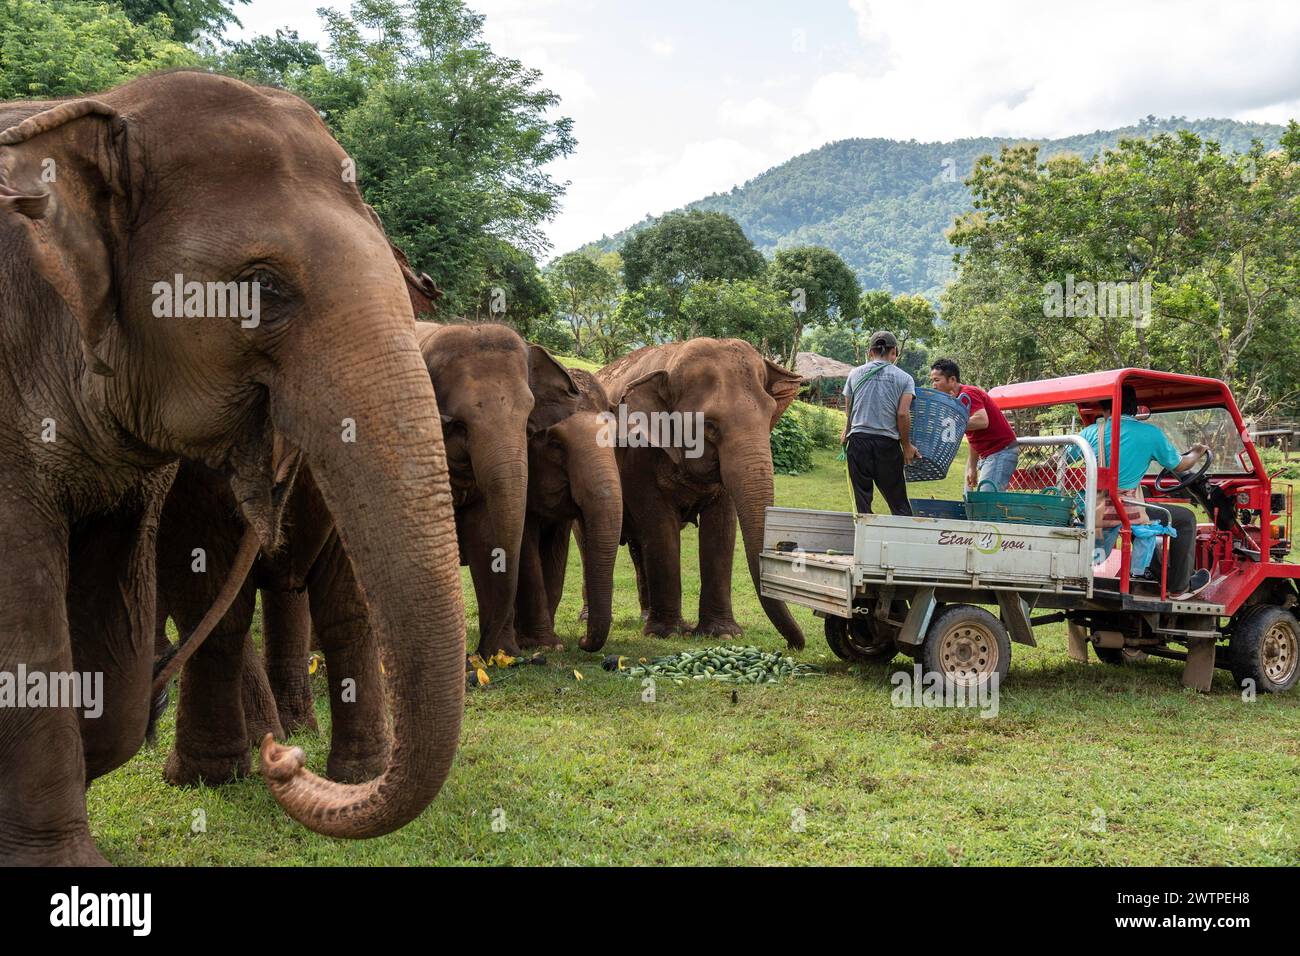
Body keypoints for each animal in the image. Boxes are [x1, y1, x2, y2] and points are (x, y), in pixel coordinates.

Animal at [514, 368, 623, 653]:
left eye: (615, 441)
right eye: (555, 444)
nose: (583, 640)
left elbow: (556, 553)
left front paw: (547, 642)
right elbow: (526, 548)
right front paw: (545, 644)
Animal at [596, 339, 805, 648]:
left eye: (770, 416)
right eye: (709, 426)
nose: (794, 645)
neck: (671, 361)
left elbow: (721, 528)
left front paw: (723, 633)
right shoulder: (639, 454)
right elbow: (660, 527)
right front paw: (668, 634)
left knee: (637, 545)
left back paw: (648, 618)